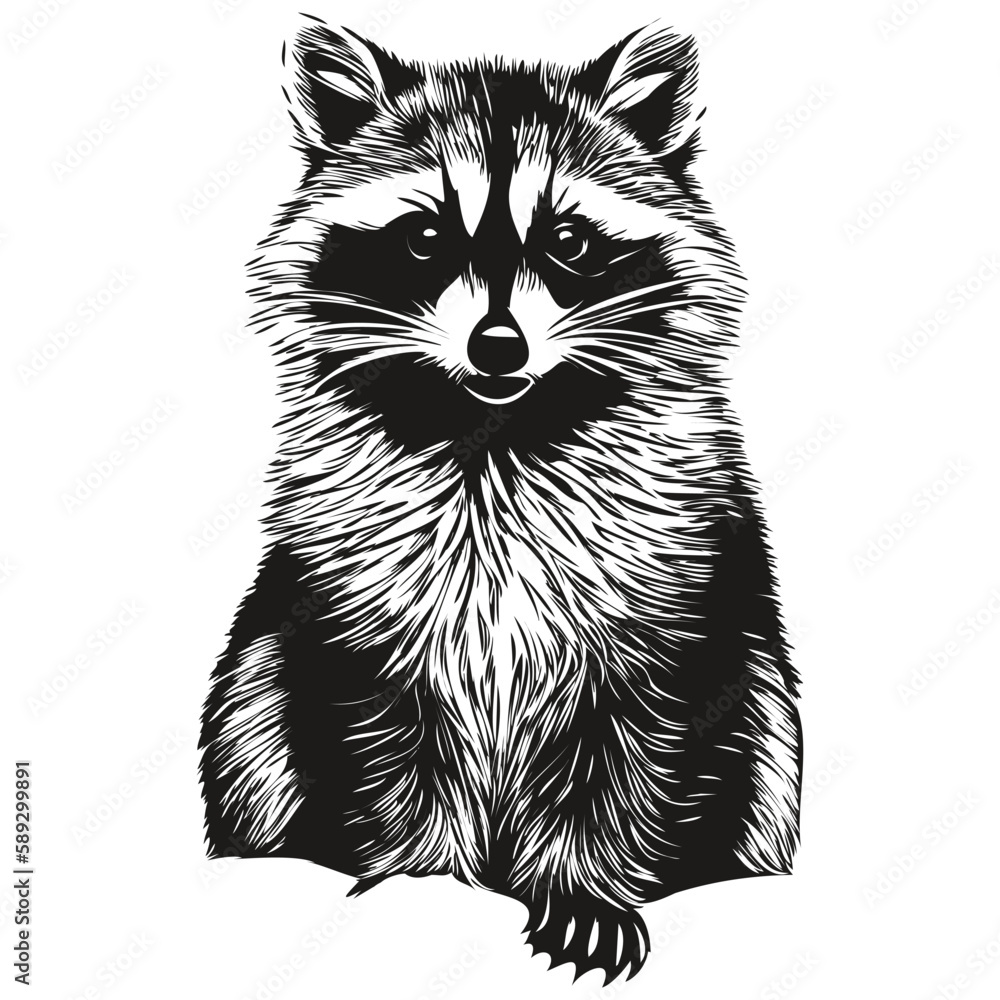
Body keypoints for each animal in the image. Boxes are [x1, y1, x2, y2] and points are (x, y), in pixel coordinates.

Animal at [199, 18, 802, 985]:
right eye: (422, 237)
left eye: (569, 240)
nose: (497, 345)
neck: (495, 432)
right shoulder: (351, 583)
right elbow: (386, 737)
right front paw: (425, 880)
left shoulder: (675, 573)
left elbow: (634, 742)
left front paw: (583, 883)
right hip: (256, 692)